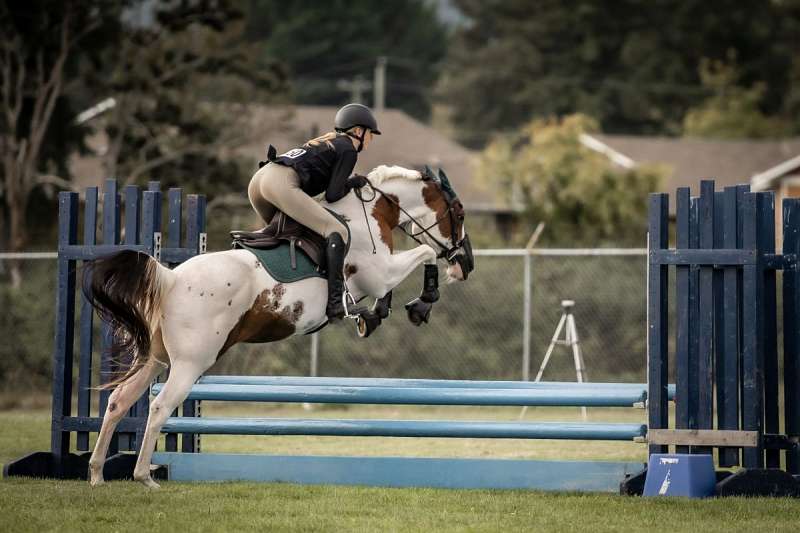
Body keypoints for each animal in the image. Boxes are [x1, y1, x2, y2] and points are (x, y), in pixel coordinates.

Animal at [83, 164, 474, 488]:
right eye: (458, 212)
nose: (465, 264)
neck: (371, 213)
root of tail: (171, 279)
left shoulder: (380, 277)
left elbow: (396, 284)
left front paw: (375, 315)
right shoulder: (381, 272)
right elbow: (425, 254)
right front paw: (422, 302)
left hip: (157, 358)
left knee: (119, 400)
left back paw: (98, 474)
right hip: (191, 363)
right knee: (159, 406)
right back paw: (144, 477)